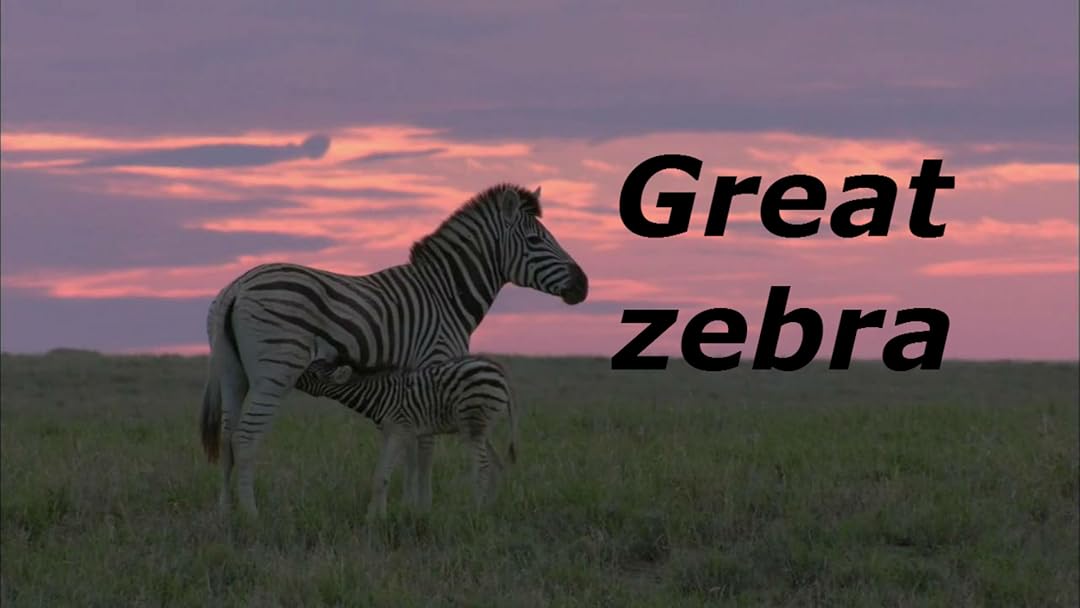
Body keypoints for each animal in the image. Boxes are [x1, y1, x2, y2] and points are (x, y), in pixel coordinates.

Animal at [296, 355, 517, 520]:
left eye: (313, 374)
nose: (293, 380)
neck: (379, 396)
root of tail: (499, 371)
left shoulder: (399, 432)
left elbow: (382, 476)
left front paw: (378, 520)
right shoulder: (388, 433)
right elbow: (379, 474)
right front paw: (373, 516)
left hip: (473, 425)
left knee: (483, 465)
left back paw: (475, 511)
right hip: (483, 429)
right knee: (497, 464)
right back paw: (488, 508)